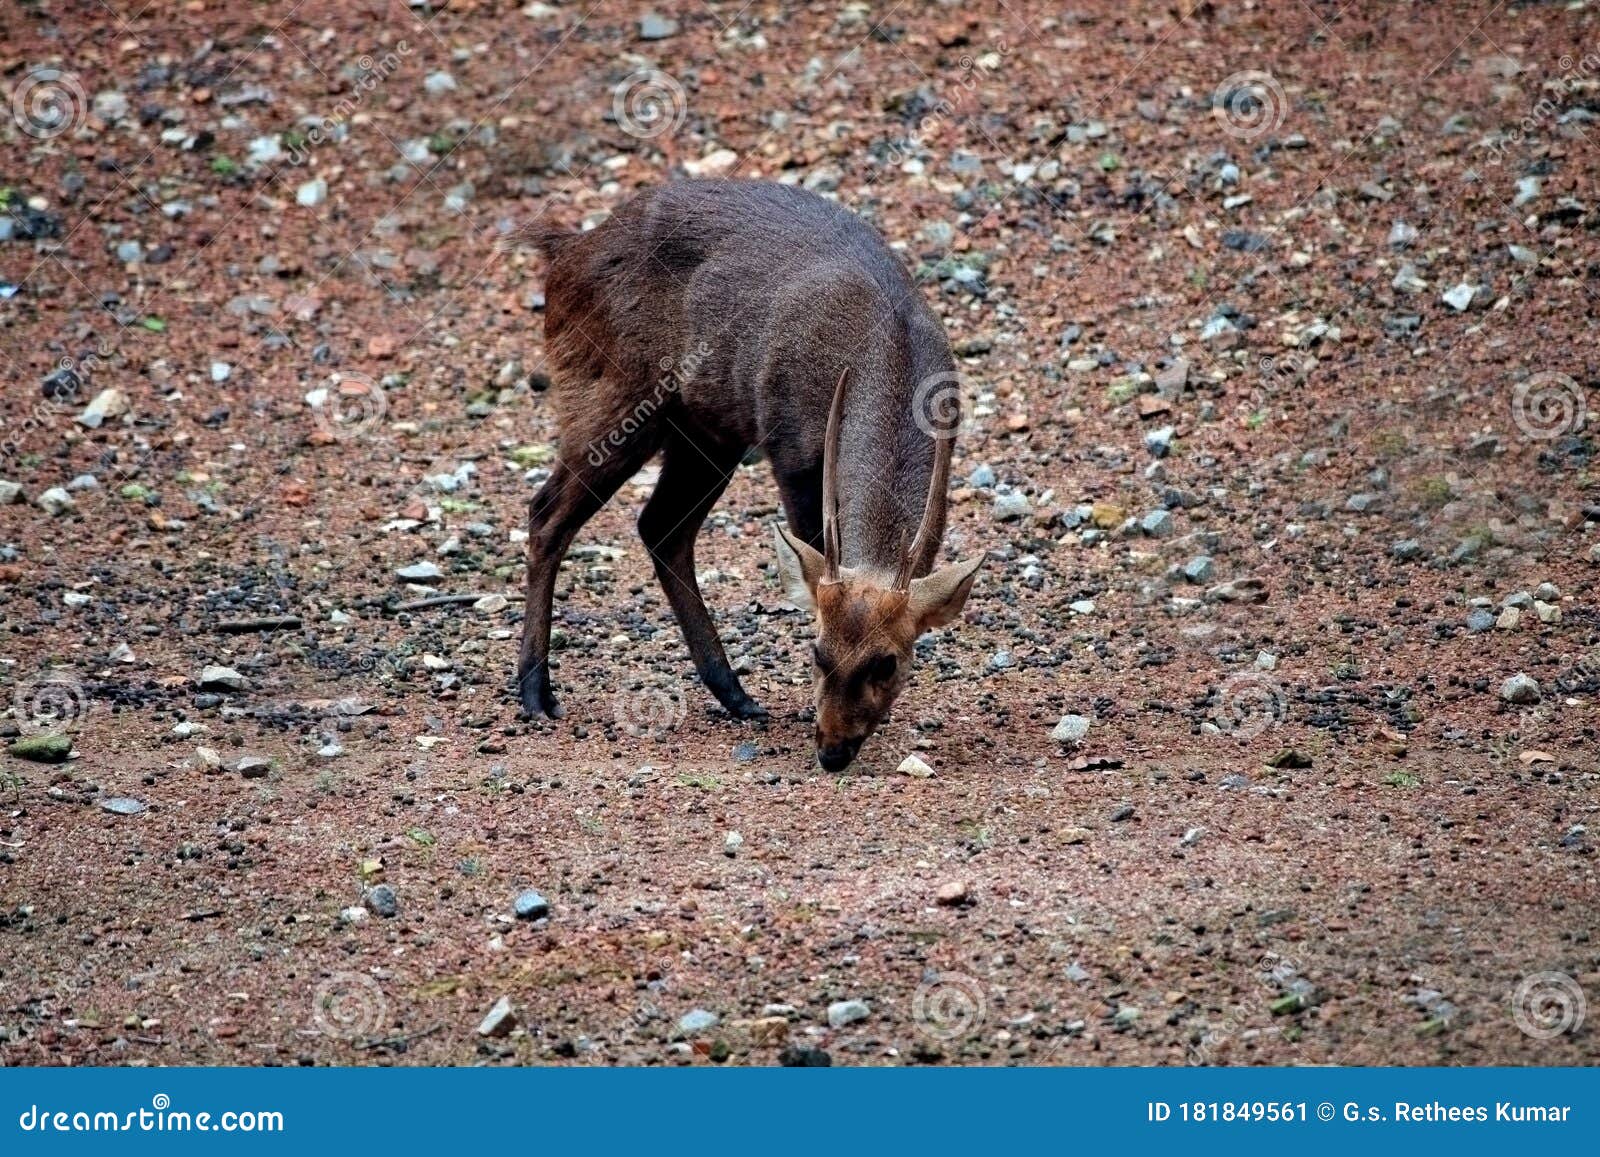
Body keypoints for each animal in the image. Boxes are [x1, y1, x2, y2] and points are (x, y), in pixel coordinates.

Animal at [508, 179, 982, 771]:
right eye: (817, 652)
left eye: (889, 662)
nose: (833, 751)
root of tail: (567, 251)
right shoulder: (793, 453)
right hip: (613, 398)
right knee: (547, 513)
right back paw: (536, 692)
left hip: (705, 432)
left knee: (660, 526)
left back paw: (734, 694)